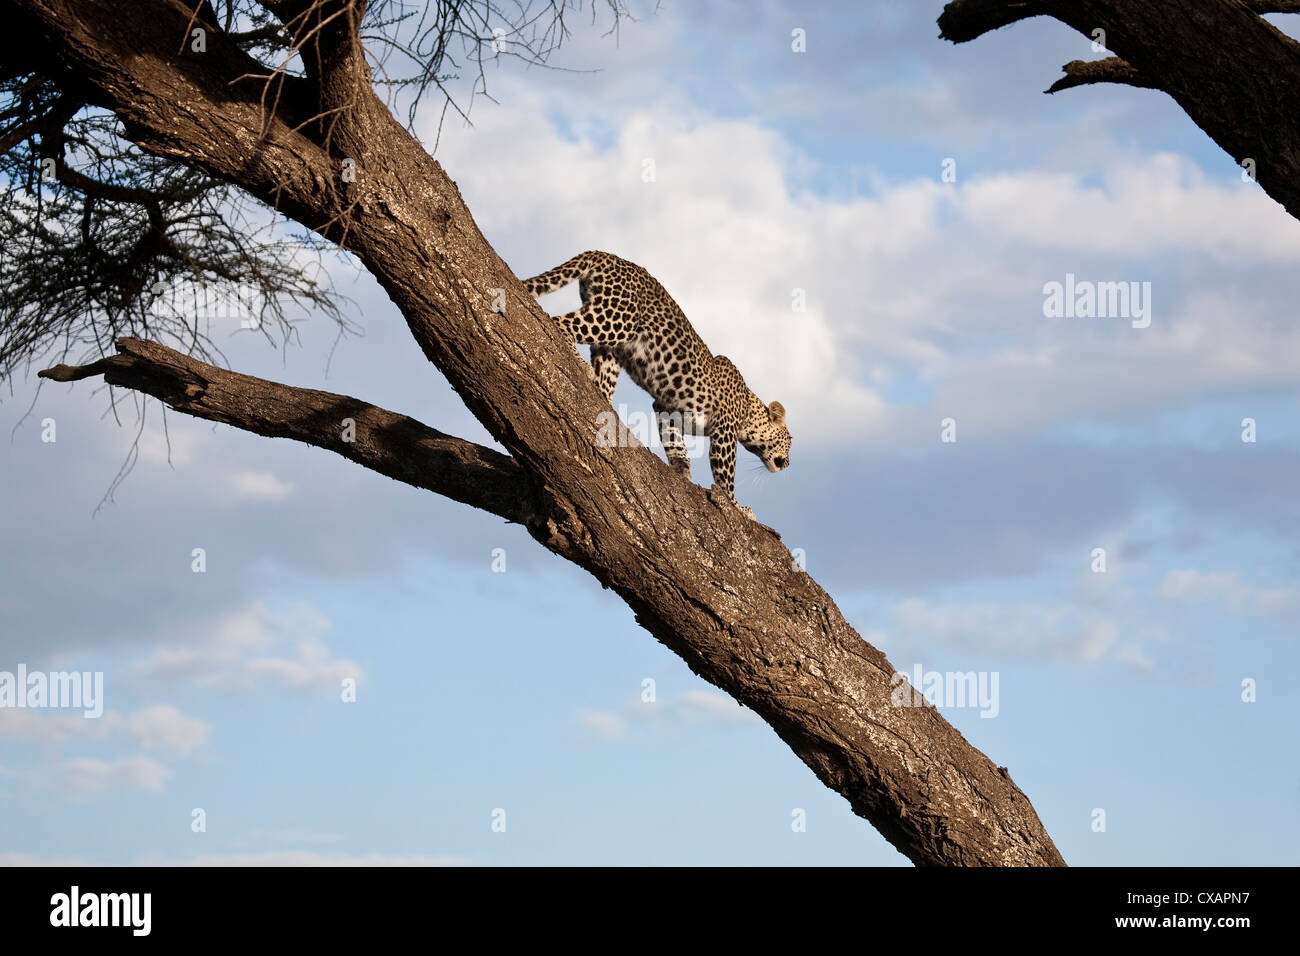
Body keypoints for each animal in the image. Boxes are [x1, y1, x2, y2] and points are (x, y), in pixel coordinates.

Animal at [523, 250, 791, 520]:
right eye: (789, 441)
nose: (788, 464)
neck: (748, 409)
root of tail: (605, 254)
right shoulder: (725, 431)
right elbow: (725, 475)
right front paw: (739, 507)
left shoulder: (665, 407)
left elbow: (676, 444)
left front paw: (682, 473)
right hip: (616, 319)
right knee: (559, 322)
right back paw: (580, 363)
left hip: (613, 344)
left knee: (601, 371)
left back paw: (601, 396)